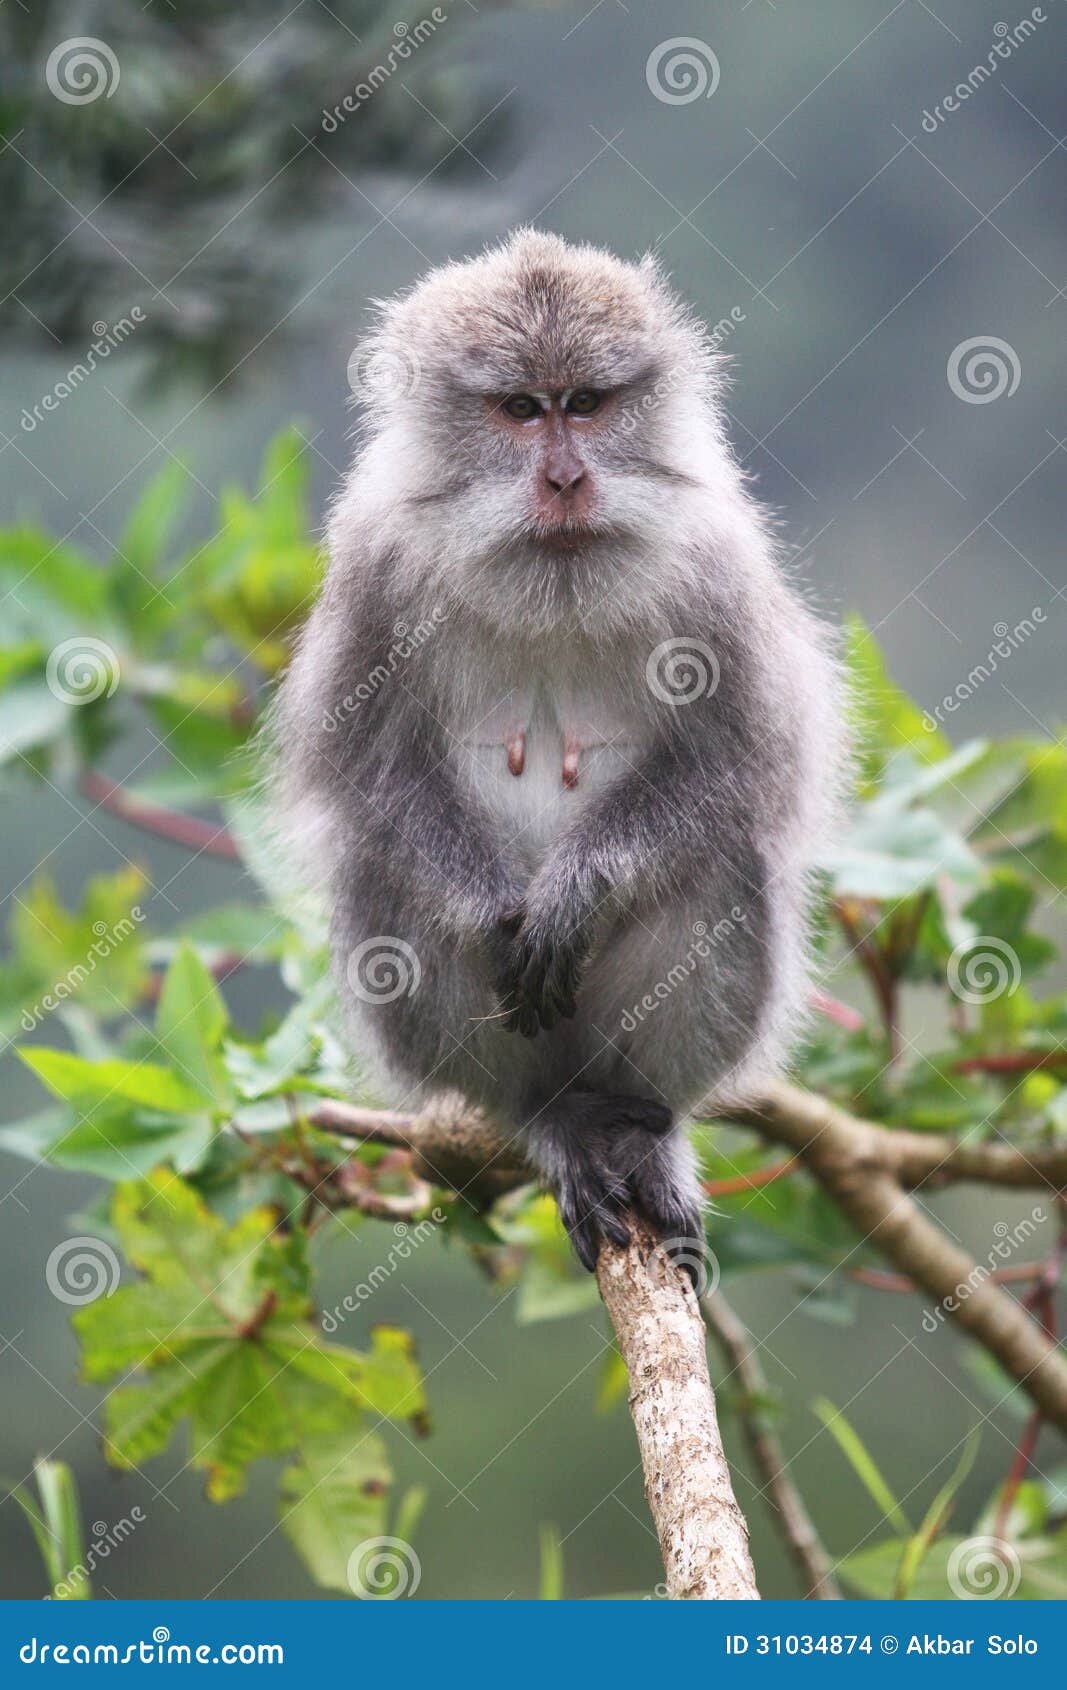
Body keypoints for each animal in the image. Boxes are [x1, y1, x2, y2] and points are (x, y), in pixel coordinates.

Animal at [272, 229, 845, 1274]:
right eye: (517, 409)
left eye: (584, 403)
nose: (566, 481)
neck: (551, 570)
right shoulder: (375, 570)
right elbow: (367, 775)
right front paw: (494, 910)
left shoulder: (719, 569)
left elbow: (742, 763)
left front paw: (576, 891)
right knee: (387, 886)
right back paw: (545, 1116)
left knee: (722, 867)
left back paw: (647, 1123)